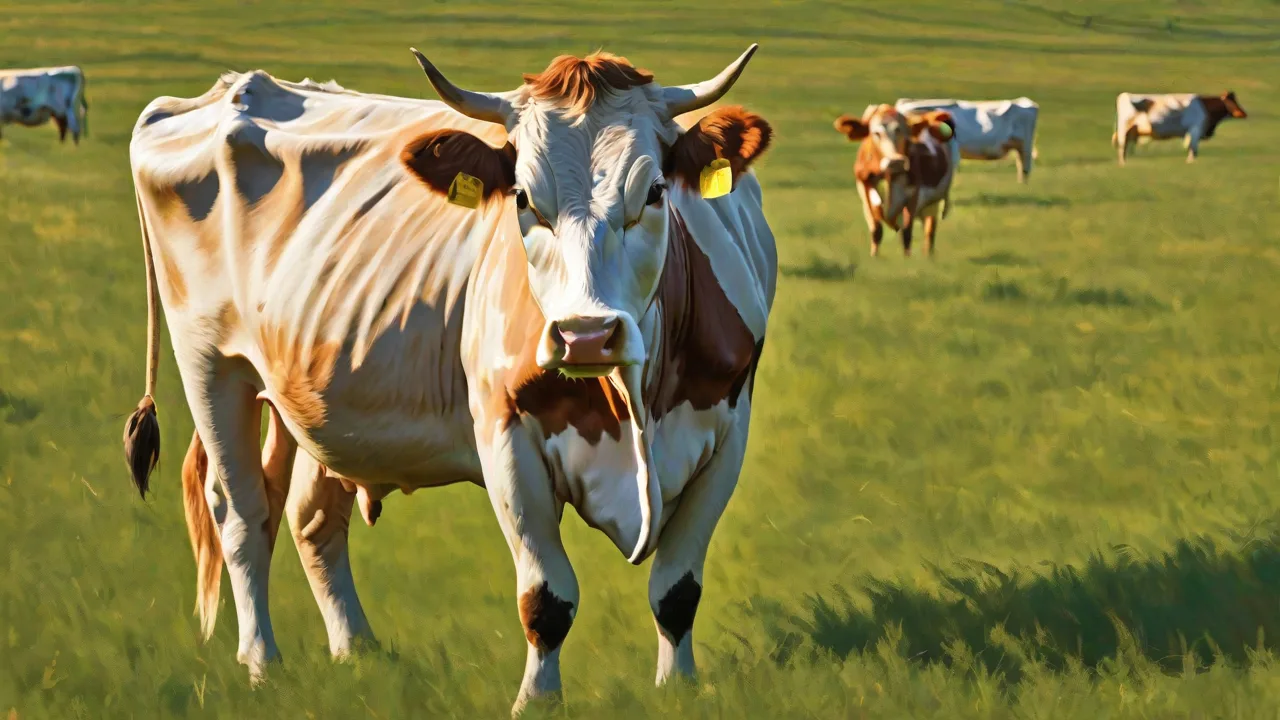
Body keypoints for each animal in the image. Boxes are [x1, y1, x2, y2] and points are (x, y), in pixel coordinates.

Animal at [123, 44, 775, 715]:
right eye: (523, 198)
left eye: (654, 192)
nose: (586, 334)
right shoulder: (506, 439)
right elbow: (547, 599)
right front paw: (536, 702)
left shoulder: (729, 436)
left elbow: (677, 590)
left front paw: (679, 689)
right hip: (211, 364)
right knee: (242, 512)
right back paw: (261, 663)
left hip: (303, 391)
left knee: (308, 515)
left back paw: (357, 651)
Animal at [833, 104, 958, 257]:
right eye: (876, 133)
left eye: (904, 132)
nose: (895, 162)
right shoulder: (865, 189)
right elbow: (876, 230)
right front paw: (874, 257)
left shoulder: (914, 194)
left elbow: (907, 232)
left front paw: (907, 259)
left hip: (933, 203)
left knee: (929, 231)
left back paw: (928, 256)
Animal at [1112, 91, 1247, 166]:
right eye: (1232, 102)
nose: (1243, 113)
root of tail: (1125, 95)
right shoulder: (1195, 130)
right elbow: (1193, 150)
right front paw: (1190, 162)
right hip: (1124, 130)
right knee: (1122, 148)